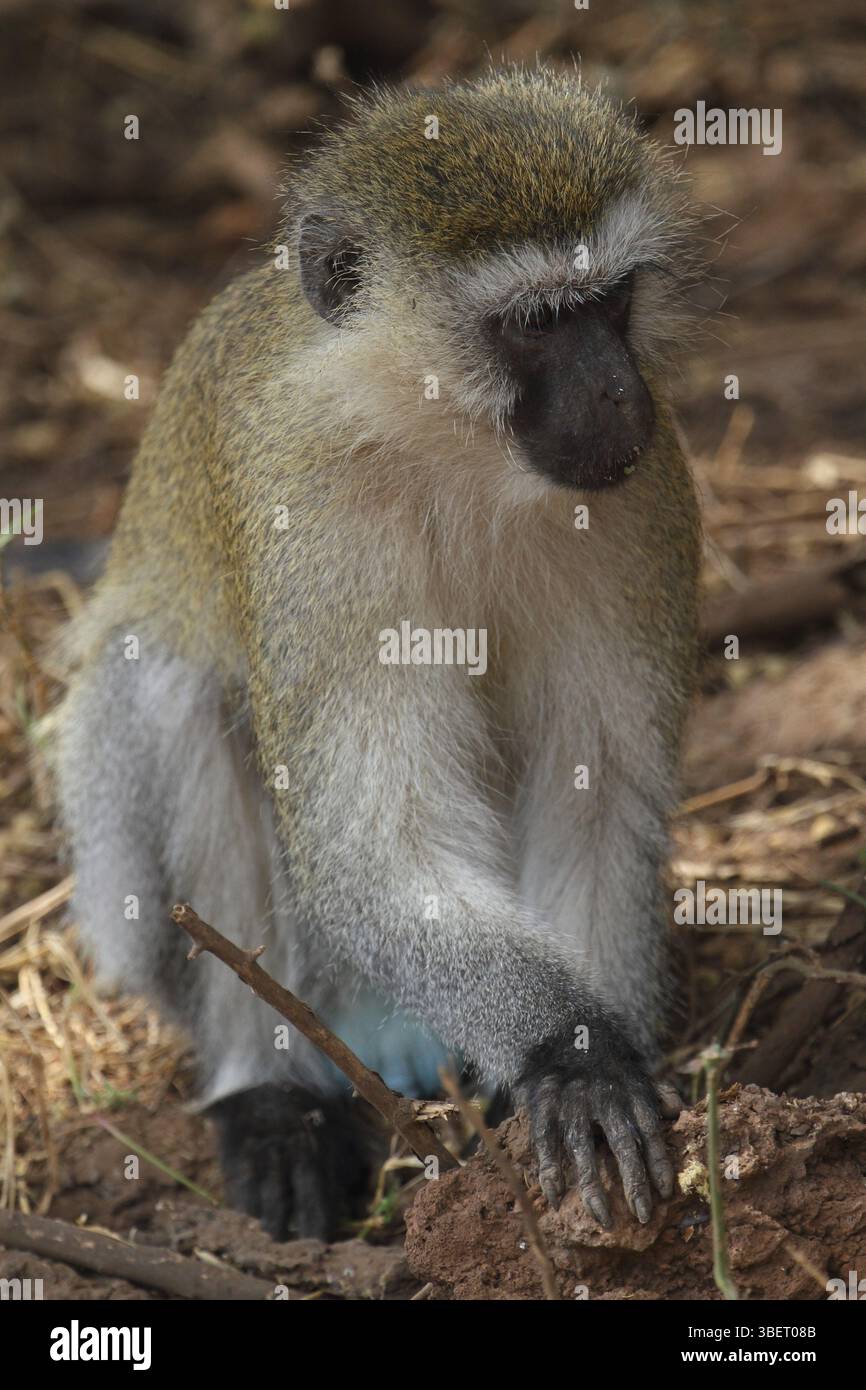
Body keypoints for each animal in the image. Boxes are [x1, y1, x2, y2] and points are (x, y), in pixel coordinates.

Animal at [57, 67, 701, 1242]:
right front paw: (570, 1055)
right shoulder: (310, 510)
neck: (454, 449)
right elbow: (370, 839)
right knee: (165, 687)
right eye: (536, 324)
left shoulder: (641, 498)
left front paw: (589, 1057)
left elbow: (596, 790)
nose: (619, 394)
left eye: (610, 303)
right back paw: (267, 1094)